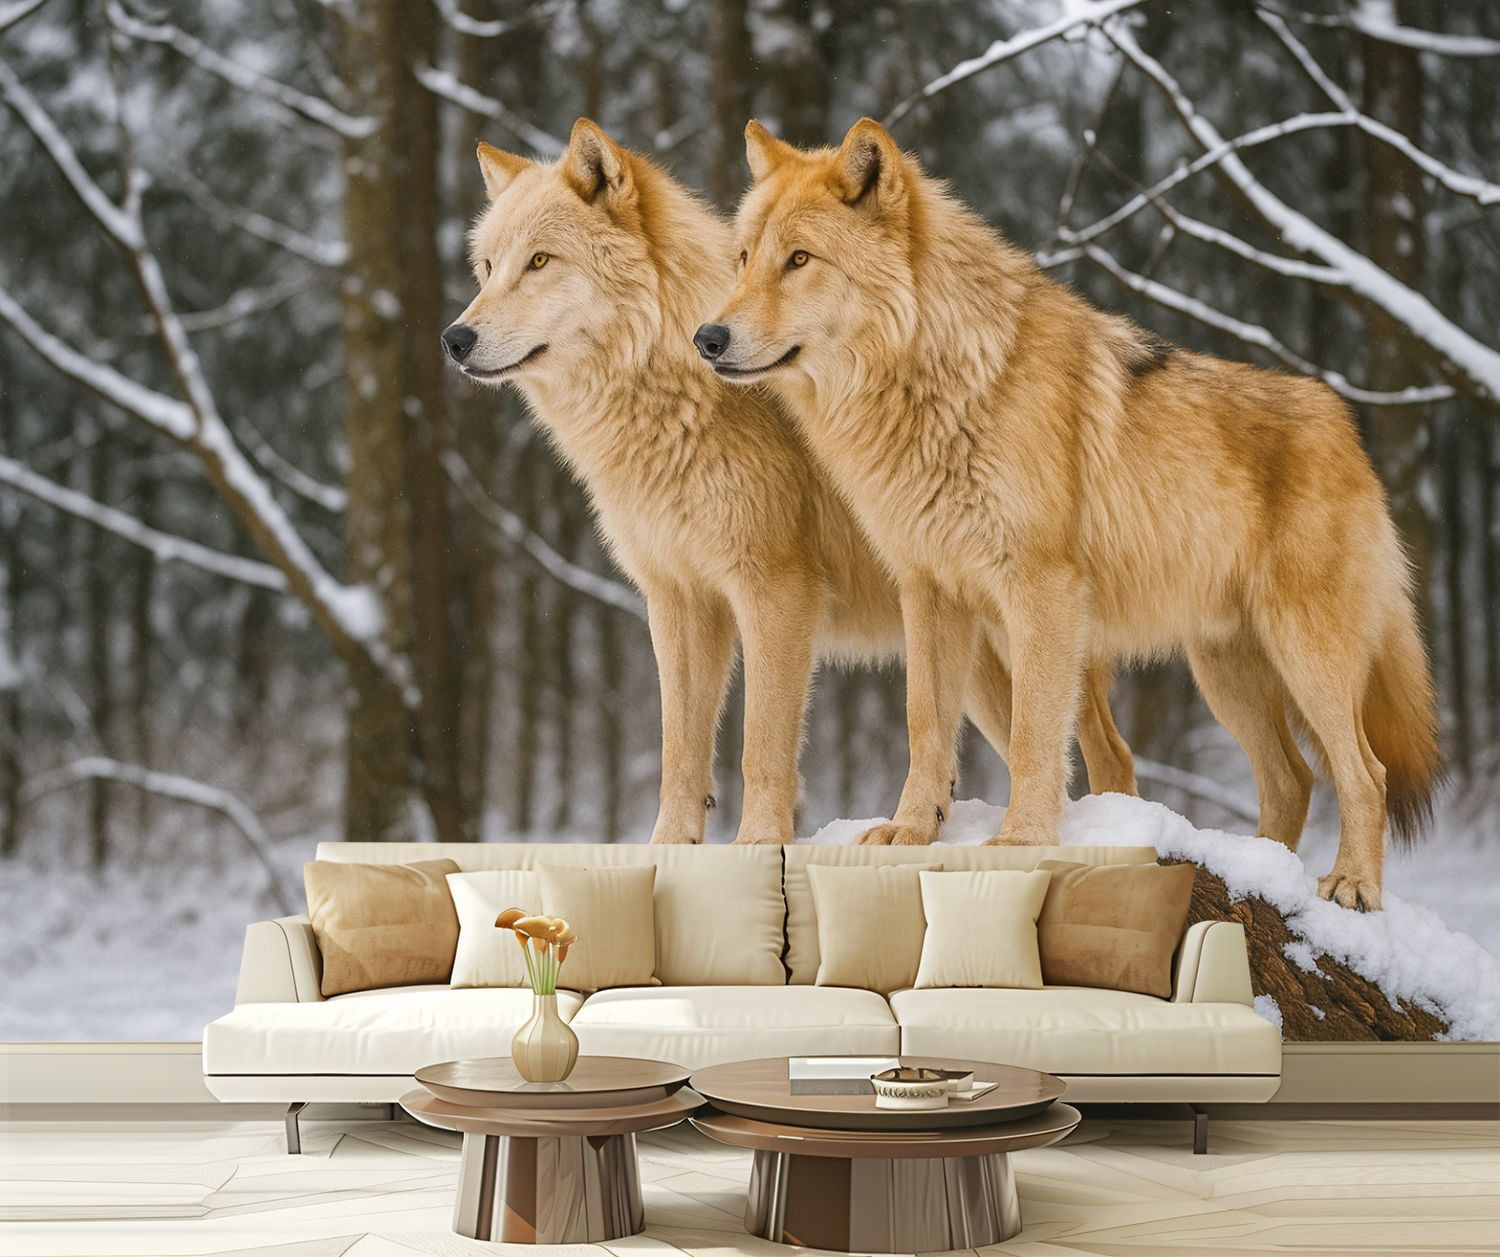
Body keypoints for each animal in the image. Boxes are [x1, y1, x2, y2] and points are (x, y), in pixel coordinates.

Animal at [441, 118, 1138, 845]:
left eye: (540, 262)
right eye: (487, 269)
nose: (454, 338)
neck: (677, 395)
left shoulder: (775, 591)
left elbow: (760, 744)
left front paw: (758, 843)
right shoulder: (677, 597)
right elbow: (678, 752)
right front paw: (668, 847)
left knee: (1107, 753)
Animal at [697, 117, 1441, 907]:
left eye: (799, 259)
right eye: (743, 259)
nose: (707, 338)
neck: (942, 380)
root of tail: (1347, 425)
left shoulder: (1042, 589)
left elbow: (1032, 735)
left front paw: (1021, 841)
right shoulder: (929, 592)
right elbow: (925, 724)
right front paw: (911, 831)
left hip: (1303, 656)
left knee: (1366, 773)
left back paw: (1352, 885)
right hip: (1225, 672)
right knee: (1294, 778)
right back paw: (1265, 877)